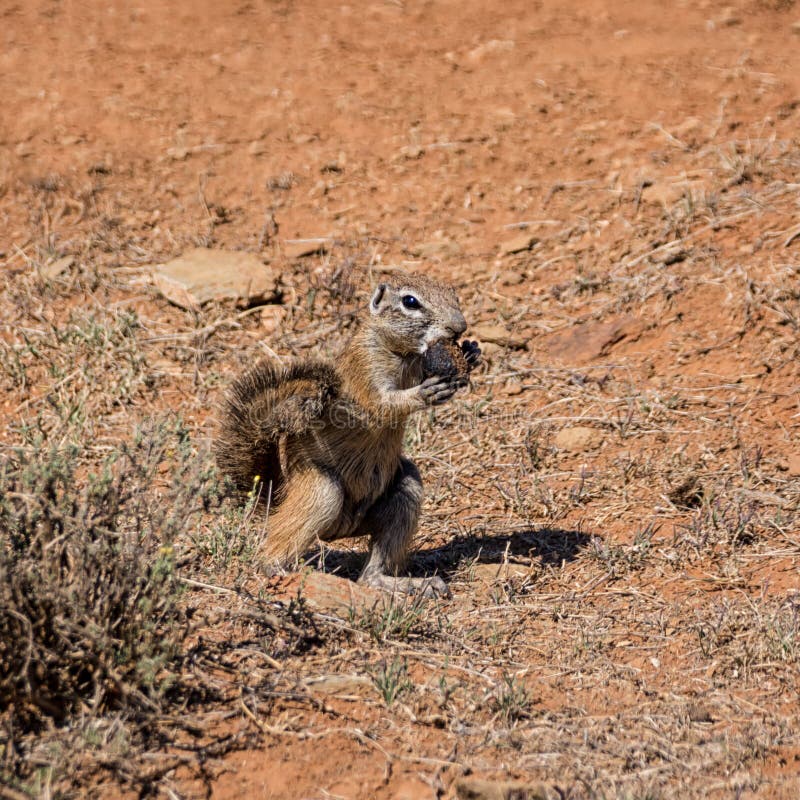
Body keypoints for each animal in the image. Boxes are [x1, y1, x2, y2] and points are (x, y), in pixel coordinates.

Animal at [214, 272, 480, 597]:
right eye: (410, 301)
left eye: (453, 294)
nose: (459, 327)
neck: (401, 354)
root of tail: (277, 497)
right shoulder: (365, 370)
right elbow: (382, 405)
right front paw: (425, 393)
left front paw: (471, 352)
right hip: (322, 490)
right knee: (272, 550)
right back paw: (283, 571)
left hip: (407, 489)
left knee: (370, 573)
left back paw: (410, 584)